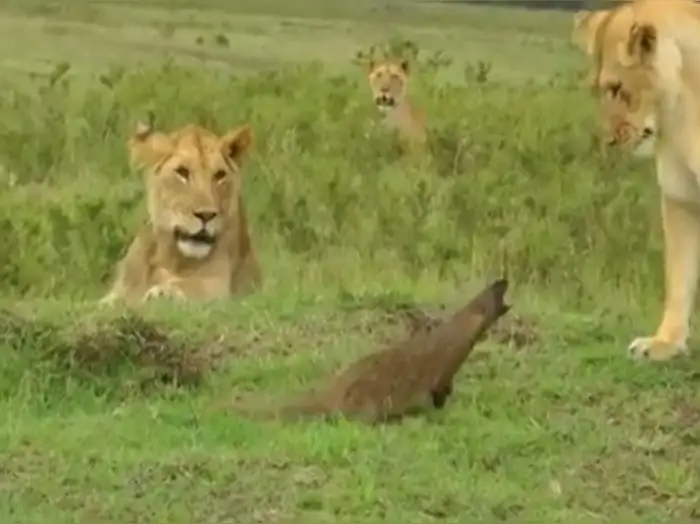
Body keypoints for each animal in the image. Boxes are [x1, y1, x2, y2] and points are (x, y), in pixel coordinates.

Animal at [100, 117, 262, 306]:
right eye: (182, 172)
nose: (206, 215)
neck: (170, 258)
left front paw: (161, 293)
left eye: (219, 175)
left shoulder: (220, 288)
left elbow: (189, 288)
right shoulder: (117, 292)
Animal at [574, 0, 700, 361]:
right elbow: (679, 276)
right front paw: (664, 344)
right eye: (598, 90)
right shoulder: (681, 196)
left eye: (617, 88)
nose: (609, 140)